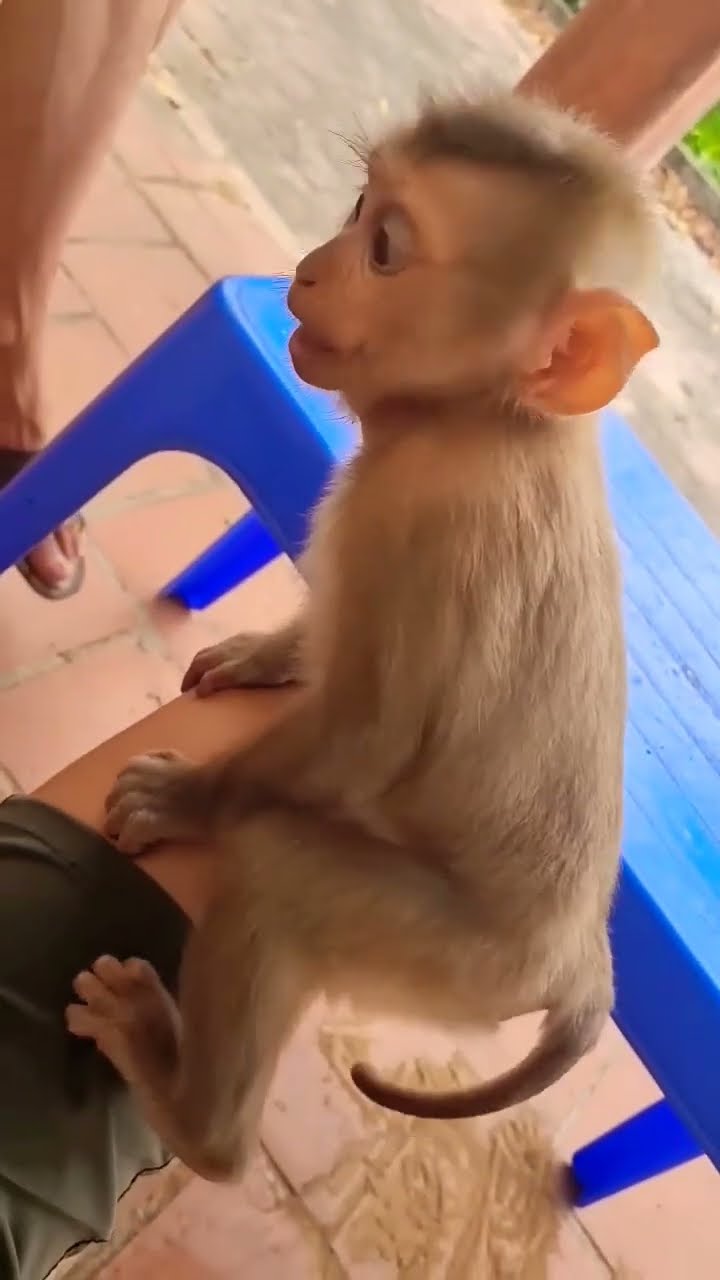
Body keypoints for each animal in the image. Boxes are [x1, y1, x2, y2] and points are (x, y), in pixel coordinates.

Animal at [65, 91, 659, 1179]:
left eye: (384, 248)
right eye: (356, 209)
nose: (308, 268)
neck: (488, 419)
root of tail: (579, 959)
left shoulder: (431, 534)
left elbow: (366, 737)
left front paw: (187, 800)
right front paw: (266, 655)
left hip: (455, 961)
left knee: (280, 873)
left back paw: (196, 1118)